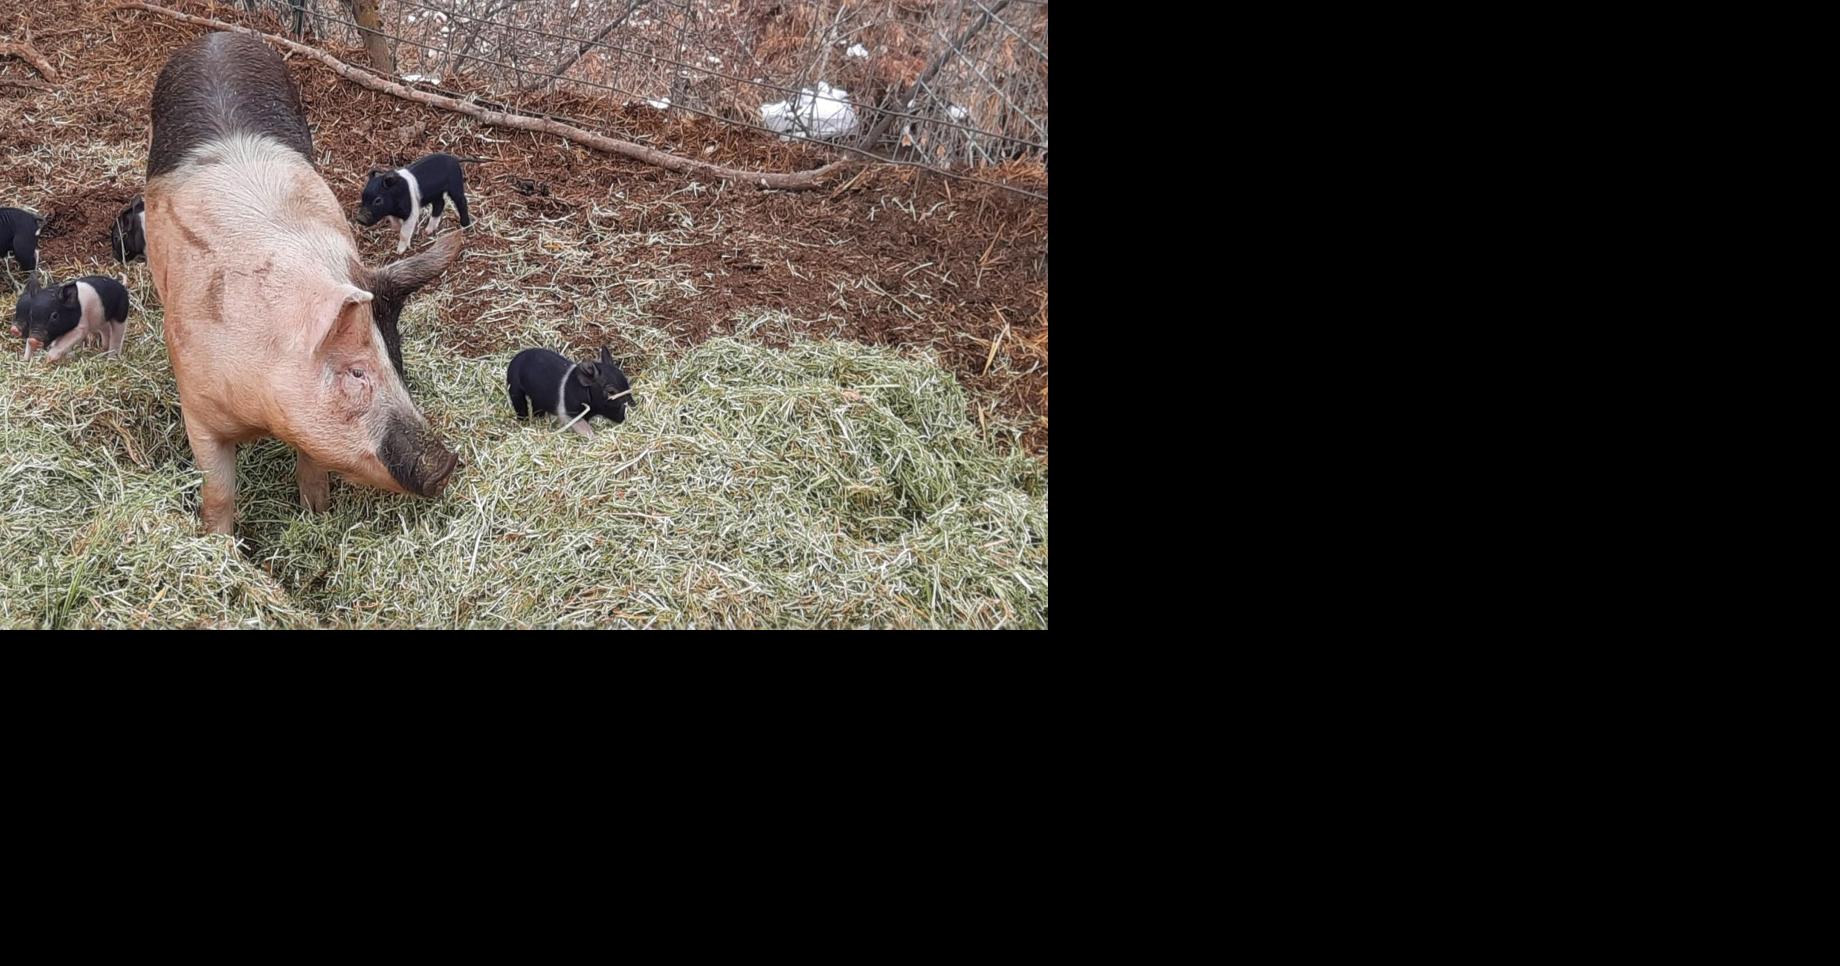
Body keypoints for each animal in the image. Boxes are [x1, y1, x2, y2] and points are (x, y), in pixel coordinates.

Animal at [145, 32, 463, 536]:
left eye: (396, 355)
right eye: (356, 372)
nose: (446, 464)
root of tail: (218, 37)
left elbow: (313, 467)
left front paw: (318, 514)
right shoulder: (197, 404)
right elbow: (219, 490)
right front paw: (218, 541)